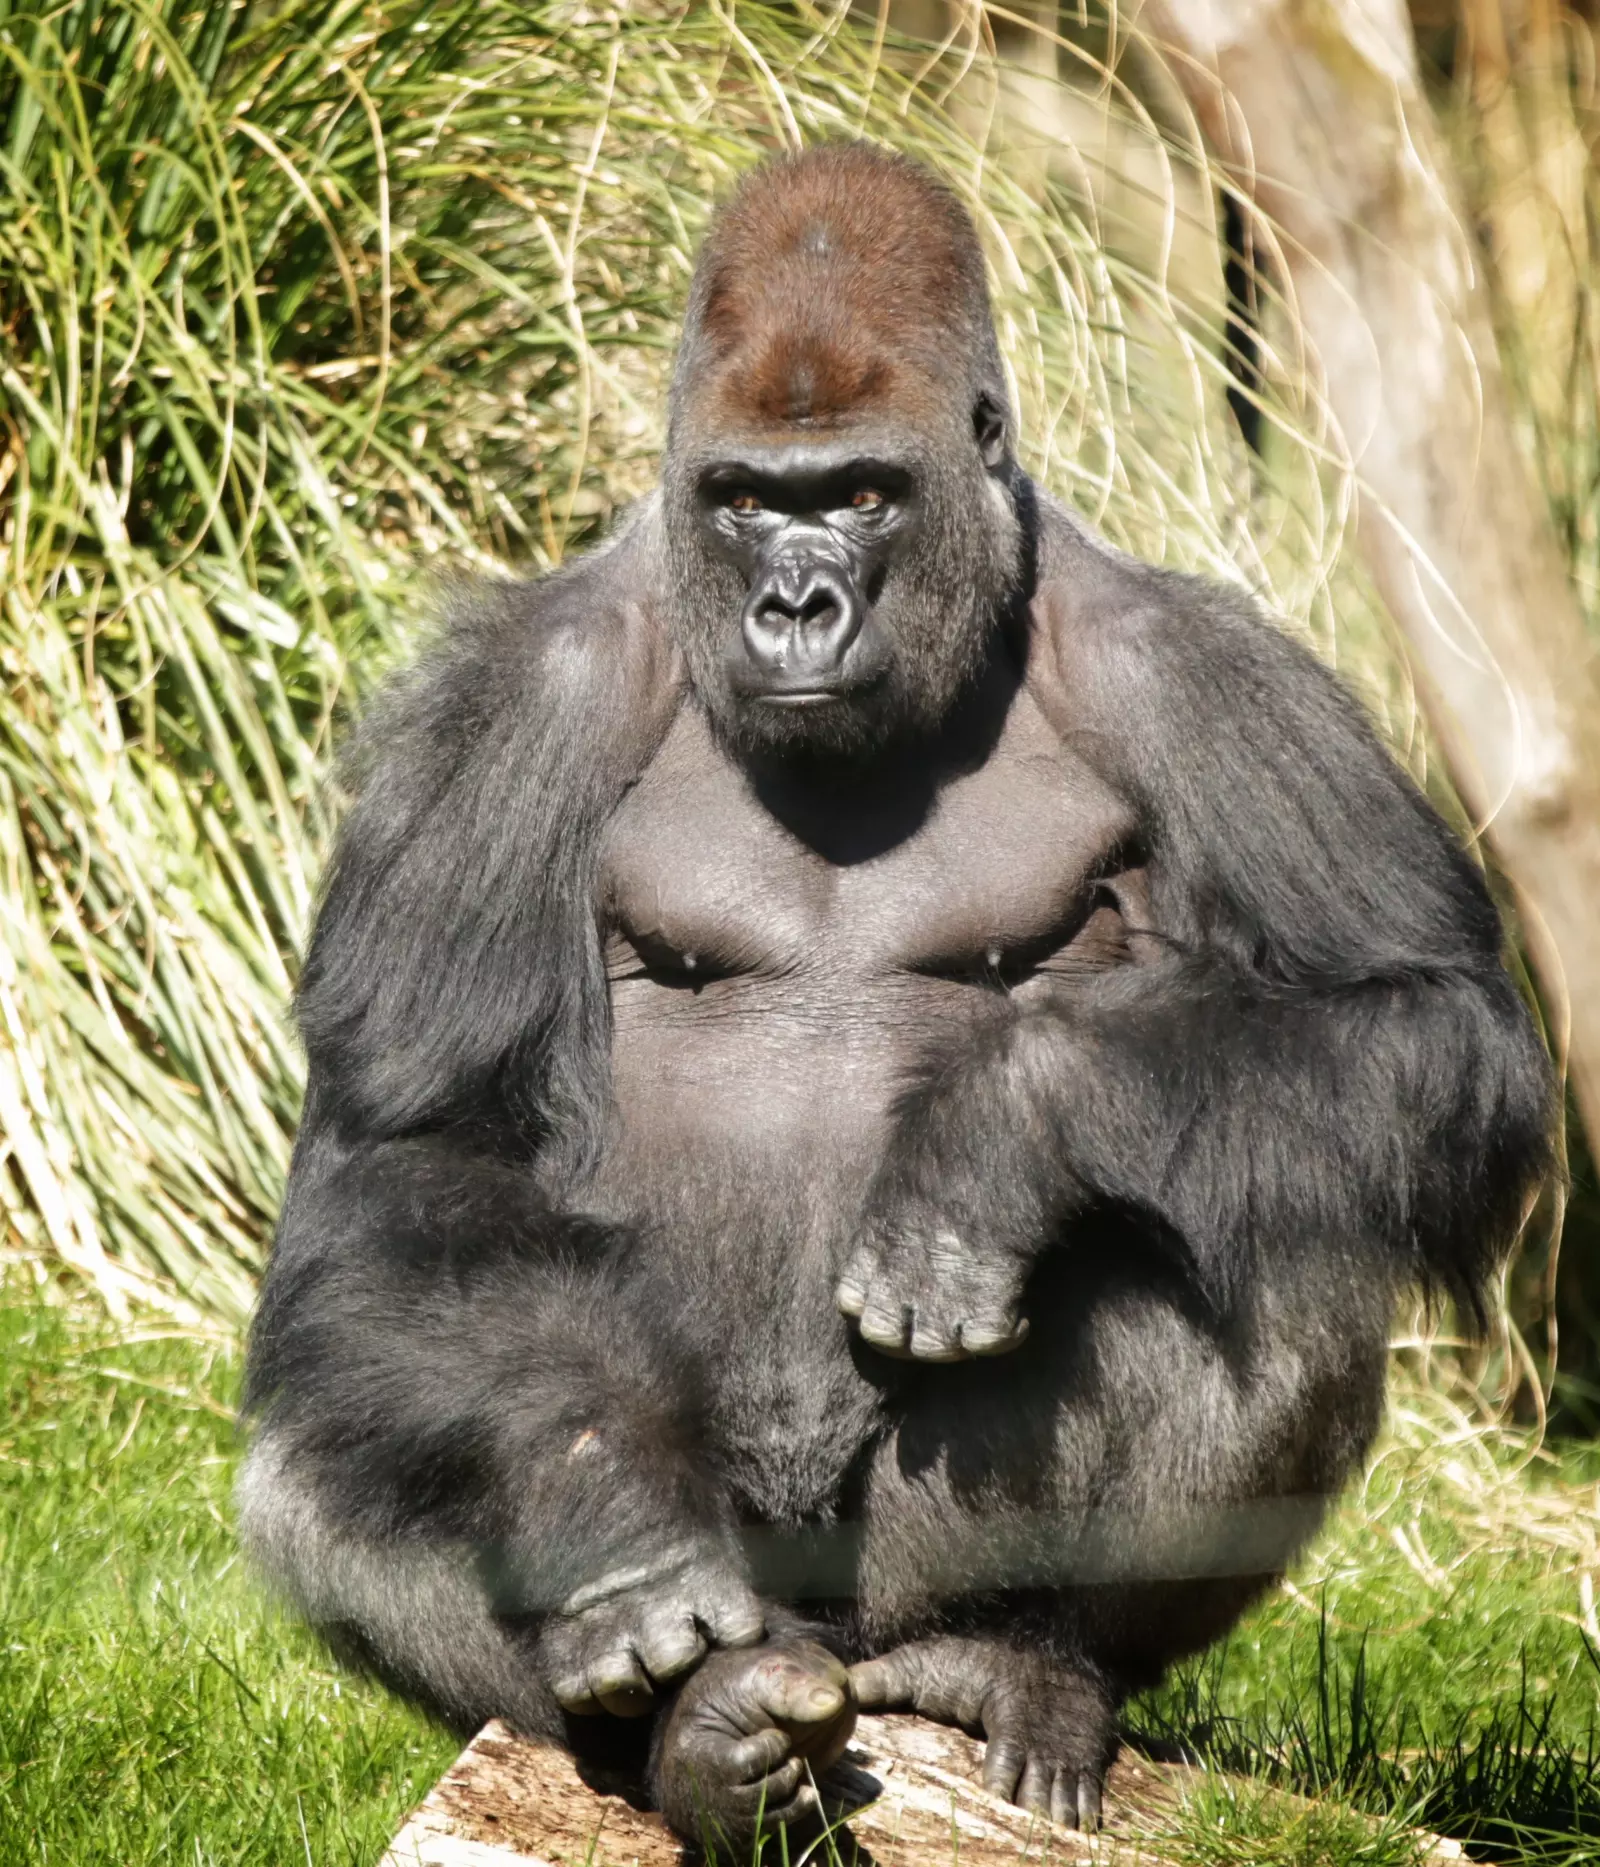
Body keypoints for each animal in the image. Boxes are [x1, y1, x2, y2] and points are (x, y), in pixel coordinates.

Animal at [239, 142, 1552, 1850]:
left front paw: (1003, 1131)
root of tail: (844, 1646)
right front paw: (607, 1516)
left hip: (903, 1563)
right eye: (746, 498)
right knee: (317, 1453)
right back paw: (696, 1738)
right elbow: (418, 1147)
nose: (797, 604)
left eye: (861, 491)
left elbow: (1426, 1016)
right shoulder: (515, 702)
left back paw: (1015, 1653)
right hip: (769, 1593)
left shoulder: (1198, 667)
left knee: (1293, 1264)